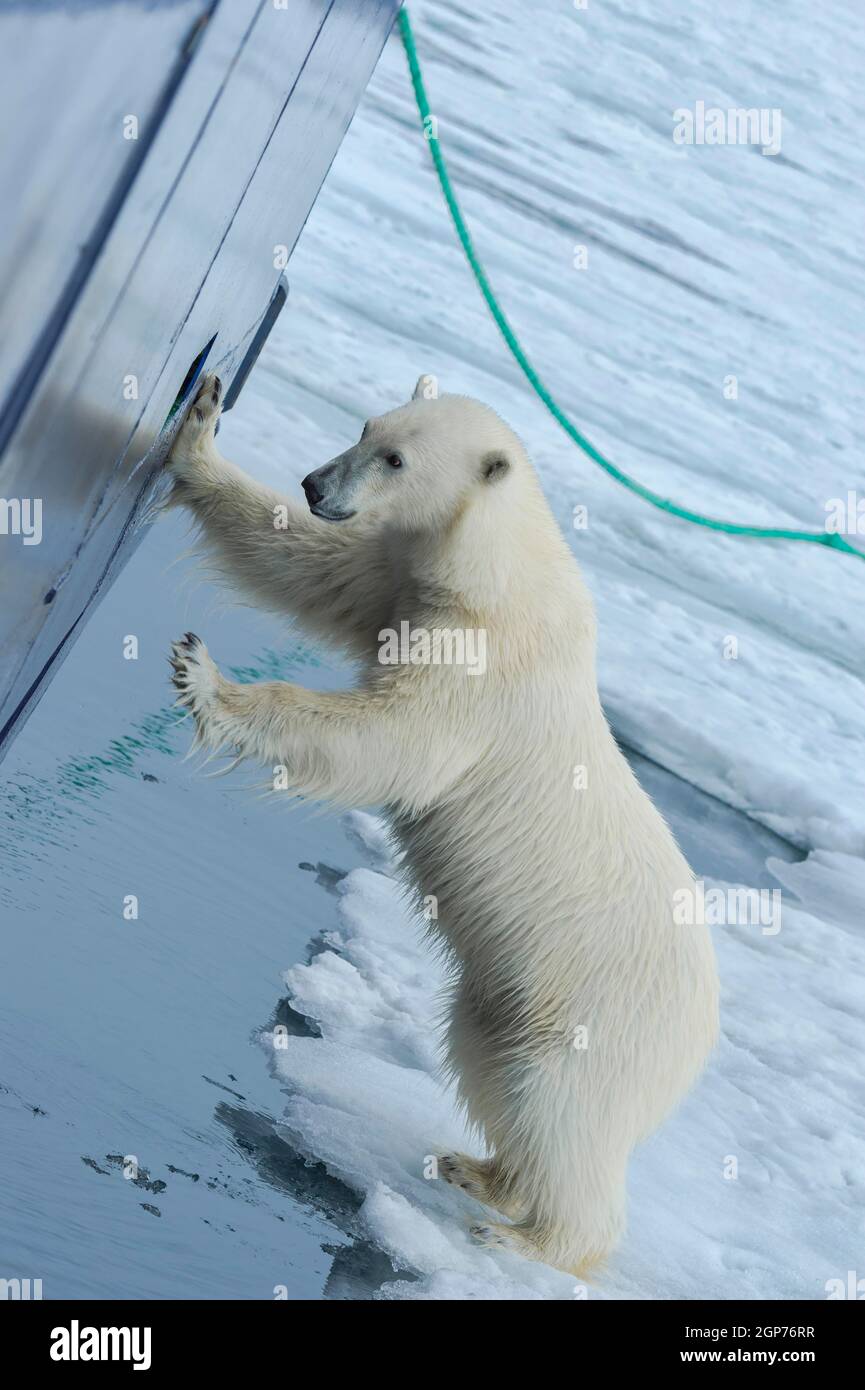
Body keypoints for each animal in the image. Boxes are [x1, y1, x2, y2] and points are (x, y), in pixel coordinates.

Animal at [165, 371, 719, 1277]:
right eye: (367, 426)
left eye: (395, 458)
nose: (317, 484)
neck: (494, 581)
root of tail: (703, 1035)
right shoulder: (403, 583)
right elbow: (305, 566)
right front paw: (201, 428)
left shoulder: (479, 670)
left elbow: (391, 741)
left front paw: (205, 677)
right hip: (502, 997)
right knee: (486, 1066)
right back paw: (480, 1170)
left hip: (595, 1017)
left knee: (561, 1114)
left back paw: (532, 1237)